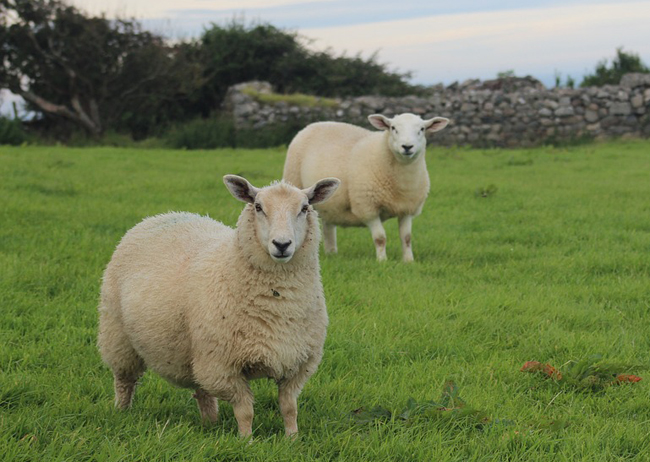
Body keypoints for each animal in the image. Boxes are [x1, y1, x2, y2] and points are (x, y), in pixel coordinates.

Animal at [97, 173, 342, 436]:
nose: (282, 244)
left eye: (304, 208)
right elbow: (245, 411)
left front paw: (292, 438)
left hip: (196, 351)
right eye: (258, 207)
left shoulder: (297, 364)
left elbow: (289, 408)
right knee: (124, 381)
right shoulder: (223, 367)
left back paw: (210, 422)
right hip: (119, 336)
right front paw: (246, 440)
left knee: (202, 389)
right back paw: (122, 412)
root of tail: (161, 216)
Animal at [280, 112, 448, 262]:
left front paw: (408, 261)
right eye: (393, 128)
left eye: (422, 129)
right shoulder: (367, 206)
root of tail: (316, 123)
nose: (407, 146)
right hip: (294, 179)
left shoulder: (407, 209)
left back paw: (331, 253)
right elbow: (380, 237)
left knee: (328, 226)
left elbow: (406, 237)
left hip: (329, 203)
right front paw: (382, 261)